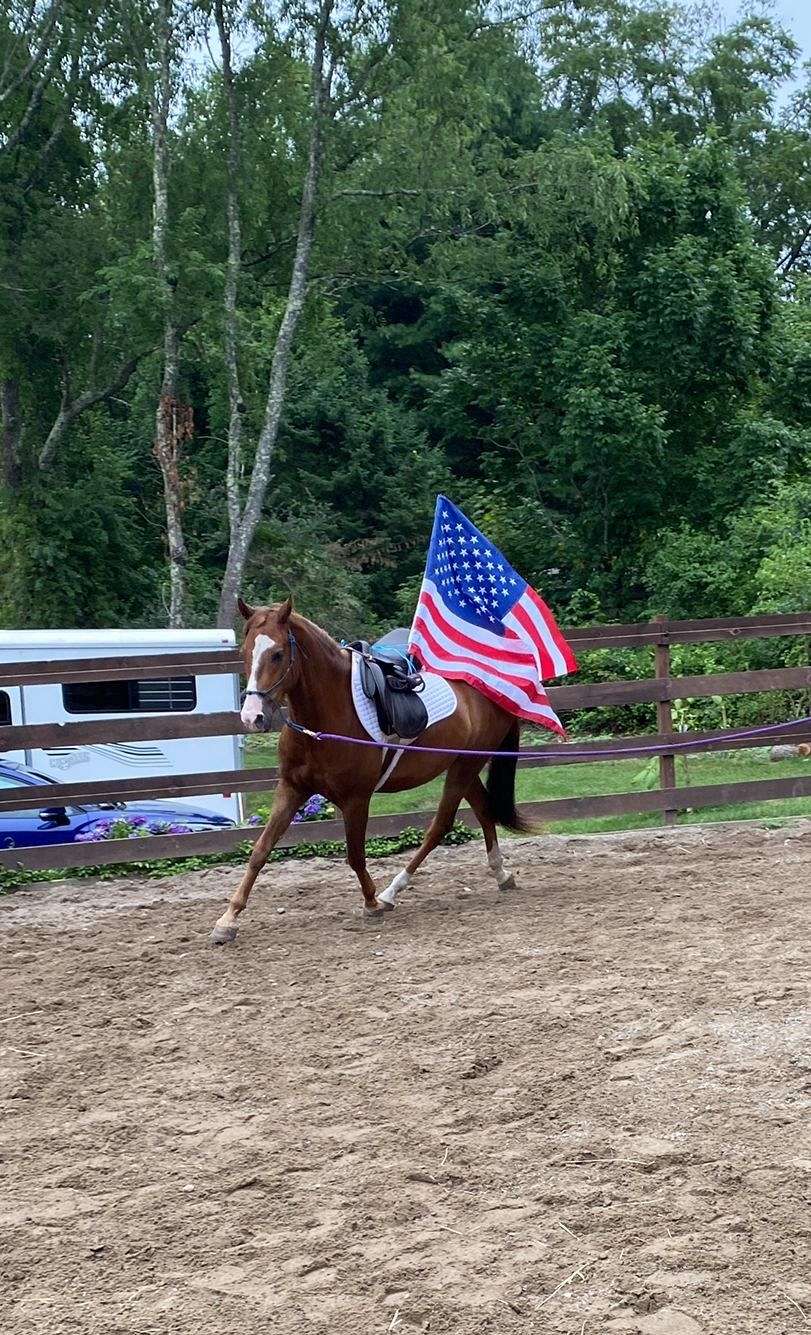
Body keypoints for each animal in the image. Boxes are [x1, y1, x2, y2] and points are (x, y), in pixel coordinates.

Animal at [210, 596, 529, 945]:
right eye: (245, 651)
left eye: (278, 653)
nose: (252, 717)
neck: (325, 718)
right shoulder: (291, 789)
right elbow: (260, 851)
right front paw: (228, 920)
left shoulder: (355, 799)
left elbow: (355, 855)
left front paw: (372, 902)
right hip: (460, 765)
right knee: (483, 810)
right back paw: (501, 874)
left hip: (465, 767)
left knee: (439, 826)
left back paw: (392, 892)